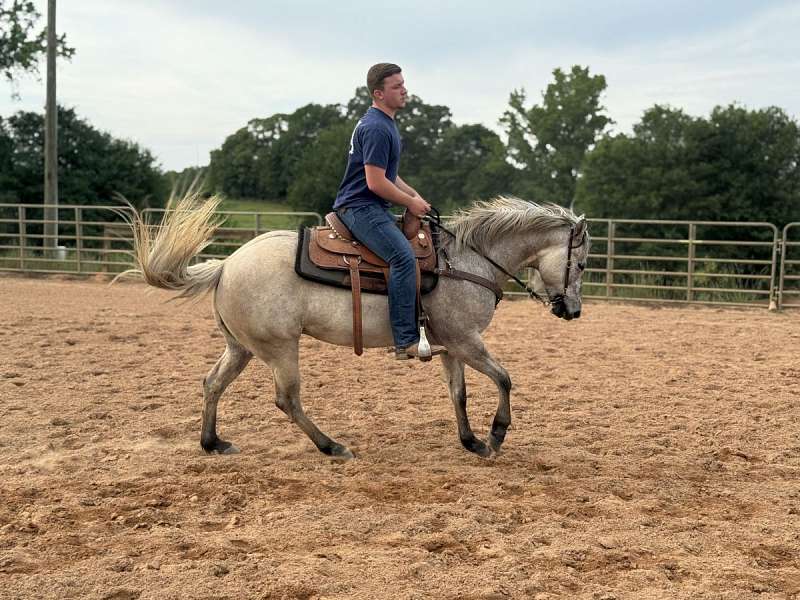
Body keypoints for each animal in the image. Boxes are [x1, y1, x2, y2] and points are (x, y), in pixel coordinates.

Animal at [120, 193, 590, 460]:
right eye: (583, 263)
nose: (573, 311)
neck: (465, 260)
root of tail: (226, 264)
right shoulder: (467, 341)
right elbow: (505, 378)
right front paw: (496, 433)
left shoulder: (453, 346)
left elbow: (458, 394)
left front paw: (471, 441)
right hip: (280, 348)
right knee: (286, 400)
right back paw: (332, 446)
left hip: (242, 347)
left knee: (212, 383)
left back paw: (212, 443)